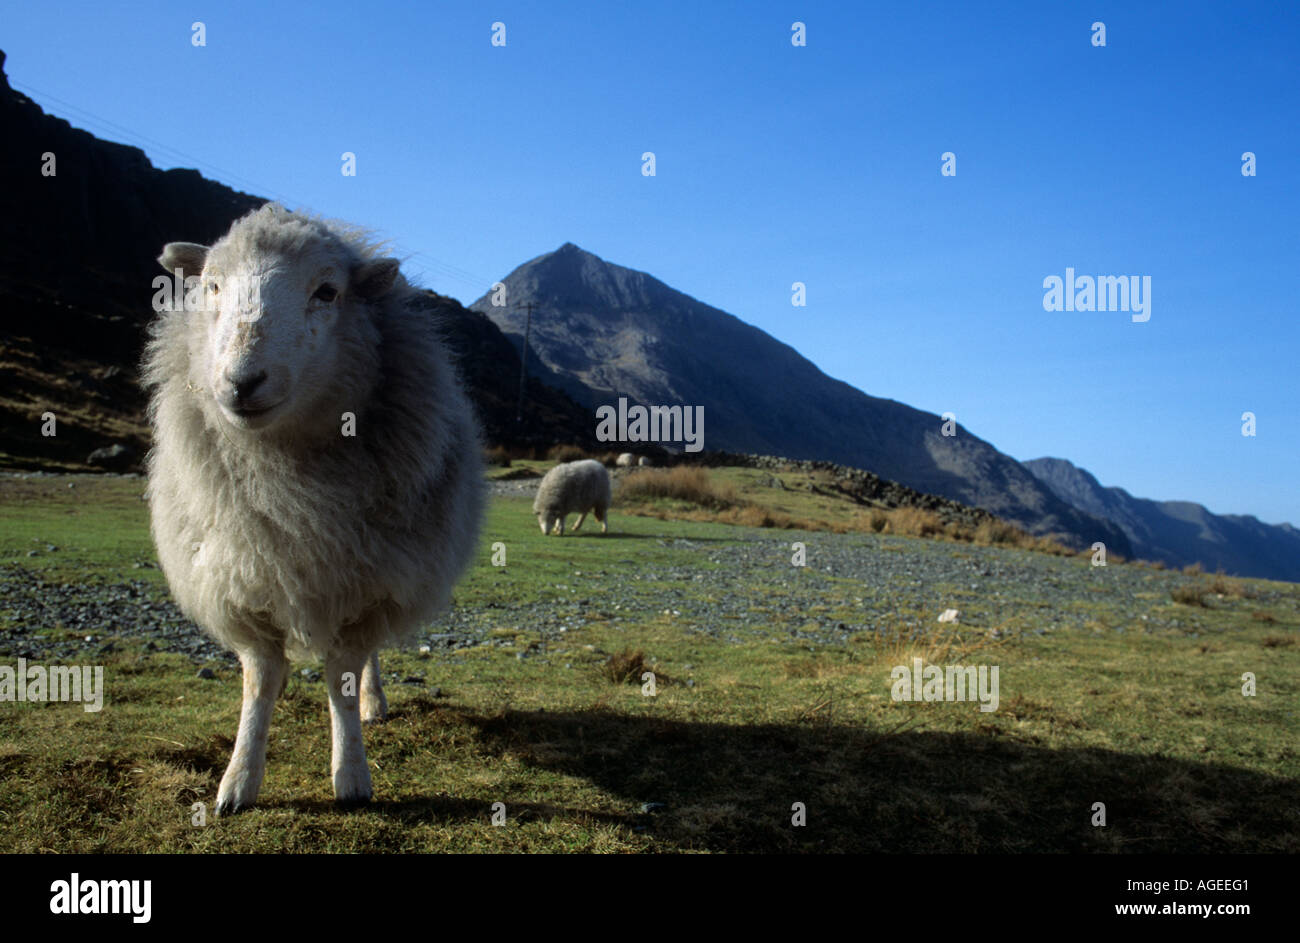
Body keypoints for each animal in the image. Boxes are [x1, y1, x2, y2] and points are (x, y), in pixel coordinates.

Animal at [142, 203, 483, 813]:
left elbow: (342, 677)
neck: (289, 480)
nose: (240, 382)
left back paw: (374, 702)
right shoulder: (244, 582)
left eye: (327, 291)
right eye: (212, 286)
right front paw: (238, 781)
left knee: (368, 663)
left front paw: (351, 775)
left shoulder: (369, 589)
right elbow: (259, 682)